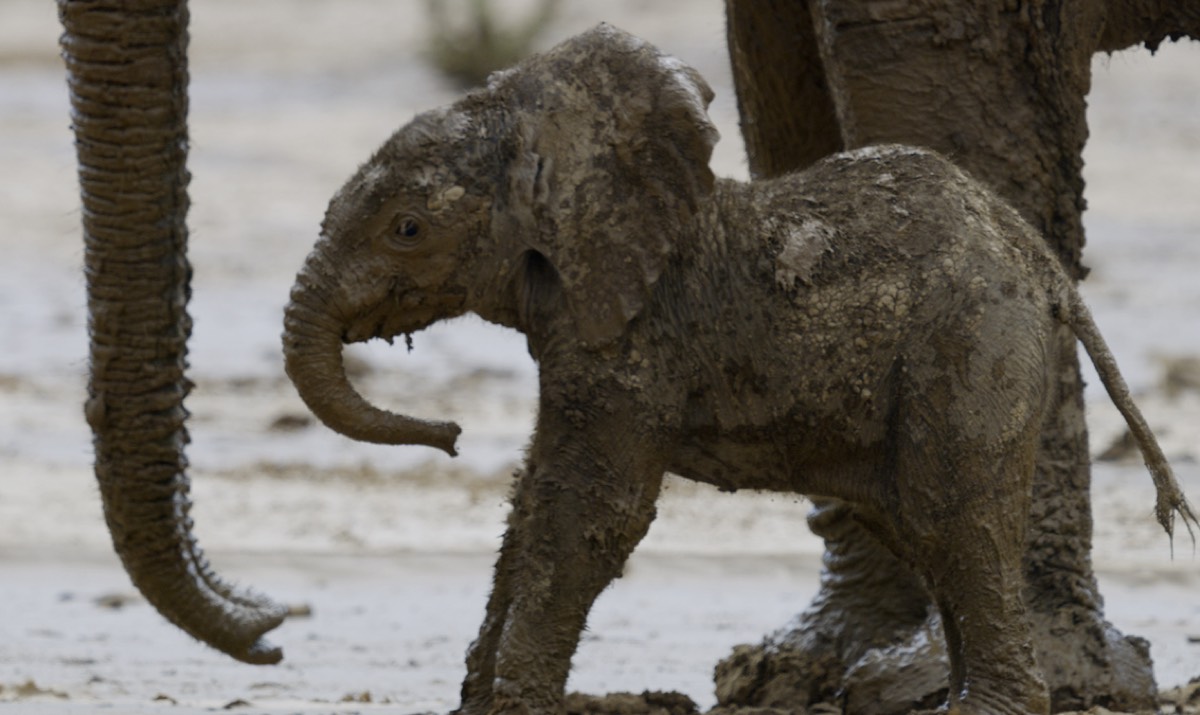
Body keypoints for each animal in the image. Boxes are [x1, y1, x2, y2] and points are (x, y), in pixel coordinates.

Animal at [281, 25, 1196, 715]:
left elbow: (592, 512)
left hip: (974, 342)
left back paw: (980, 710)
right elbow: (536, 496)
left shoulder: (640, 334)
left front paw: (514, 705)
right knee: (927, 527)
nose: (453, 434)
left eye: (407, 228)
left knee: (952, 516)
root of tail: (1044, 267)